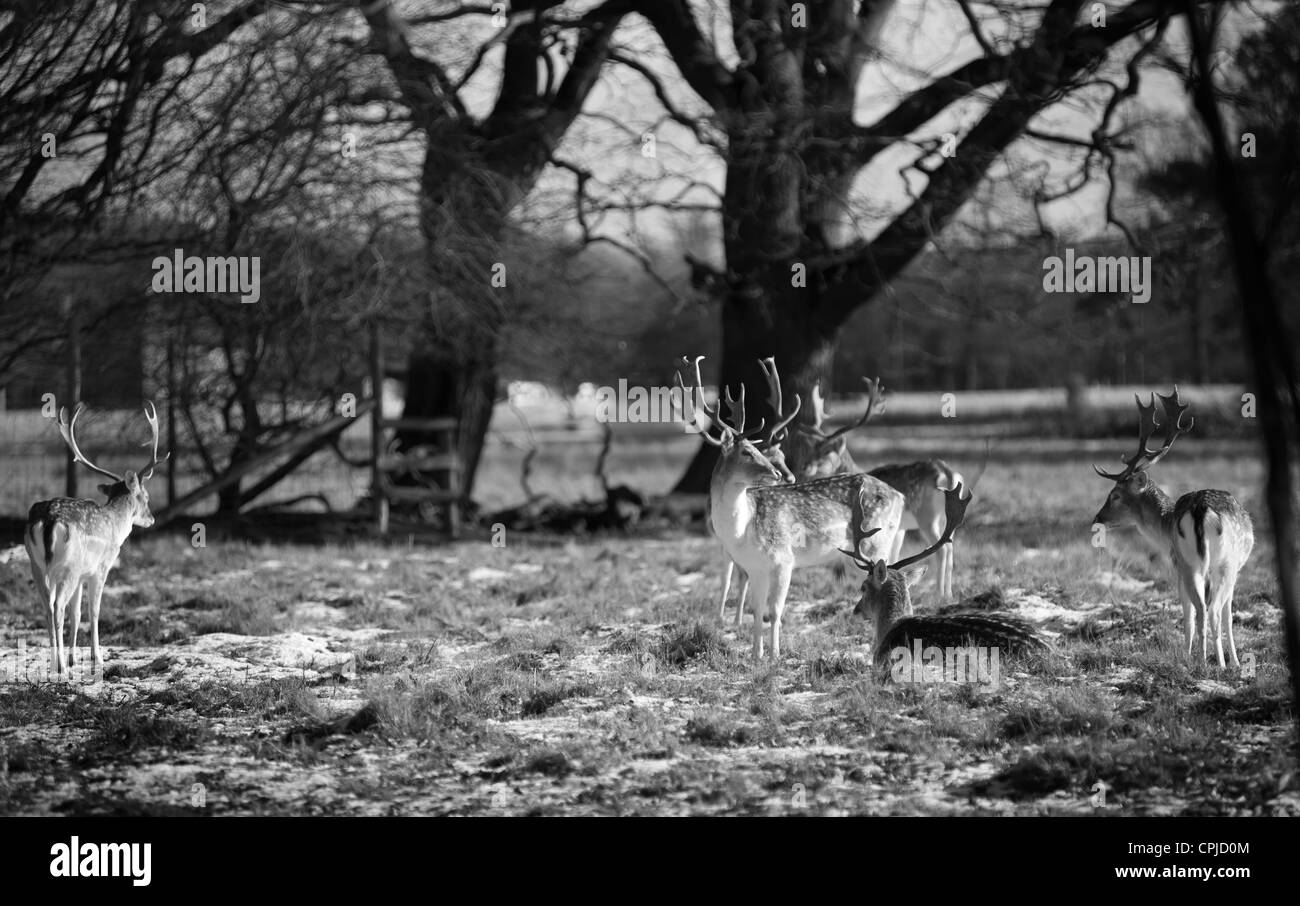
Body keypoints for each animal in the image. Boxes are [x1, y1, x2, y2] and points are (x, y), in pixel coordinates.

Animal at [24, 402, 169, 677]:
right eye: (146, 496)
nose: (152, 519)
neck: (116, 525)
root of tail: (48, 520)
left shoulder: (82, 575)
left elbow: (77, 613)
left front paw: (73, 658)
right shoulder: (100, 568)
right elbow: (94, 610)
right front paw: (96, 658)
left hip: (37, 565)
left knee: (47, 607)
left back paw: (55, 663)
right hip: (68, 567)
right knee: (57, 607)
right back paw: (60, 667)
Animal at [680, 357, 904, 659]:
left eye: (760, 450)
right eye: (747, 452)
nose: (777, 473)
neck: (743, 530)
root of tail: (899, 495)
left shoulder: (784, 559)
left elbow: (775, 612)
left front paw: (775, 655)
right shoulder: (754, 567)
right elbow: (756, 611)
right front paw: (756, 655)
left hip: (876, 541)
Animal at [783, 379, 985, 601]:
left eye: (824, 454)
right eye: (810, 451)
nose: (799, 470)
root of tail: (948, 474)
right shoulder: (899, 529)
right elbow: (893, 557)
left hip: (926, 515)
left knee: (943, 548)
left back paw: (939, 593)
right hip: (945, 517)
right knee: (949, 545)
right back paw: (948, 593)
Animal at [1091, 387, 1254, 669]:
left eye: (1115, 496)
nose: (1097, 518)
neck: (1165, 529)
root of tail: (1200, 510)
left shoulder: (1180, 565)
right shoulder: (1191, 566)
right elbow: (1222, 615)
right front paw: (1233, 661)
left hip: (1197, 564)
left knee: (1203, 609)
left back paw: (1204, 659)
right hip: (1219, 563)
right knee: (1208, 609)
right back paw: (1212, 663)